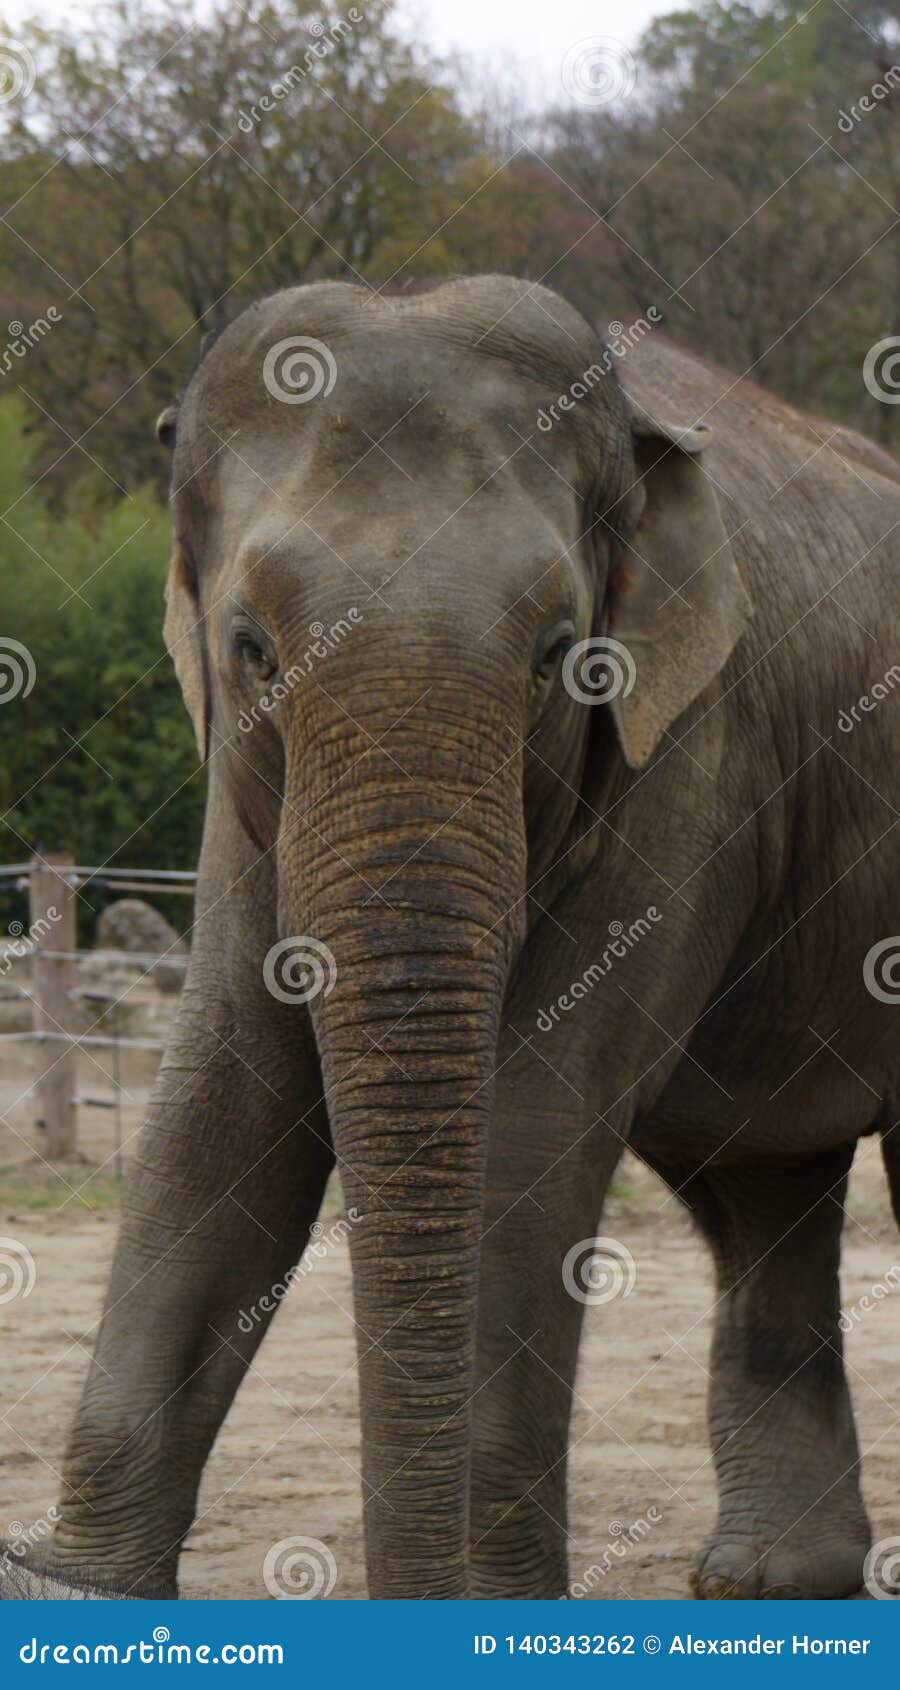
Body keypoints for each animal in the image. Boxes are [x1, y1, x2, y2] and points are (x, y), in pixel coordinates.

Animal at [16, 273, 900, 1601]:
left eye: (559, 656)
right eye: (251, 648)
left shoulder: (691, 755)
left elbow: (529, 1117)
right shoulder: (242, 790)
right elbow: (224, 1099)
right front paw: (81, 1588)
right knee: (763, 1181)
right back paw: (773, 1580)